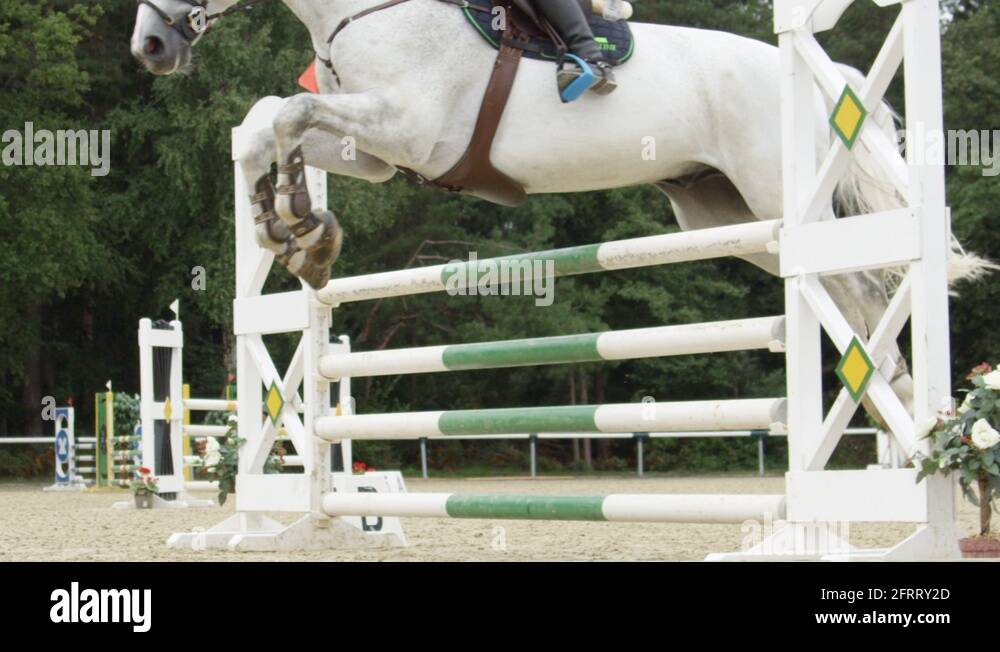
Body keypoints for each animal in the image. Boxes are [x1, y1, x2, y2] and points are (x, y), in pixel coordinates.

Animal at [130, 0, 990, 429]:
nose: (148, 46)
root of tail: (821, 71)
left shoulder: (406, 127)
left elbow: (289, 111)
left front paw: (299, 229)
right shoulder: (376, 149)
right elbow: (269, 122)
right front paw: (291, 229)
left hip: (779, 194)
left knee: (864, 288)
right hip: (725, 211)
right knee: (852, 295)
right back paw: (894, 409)